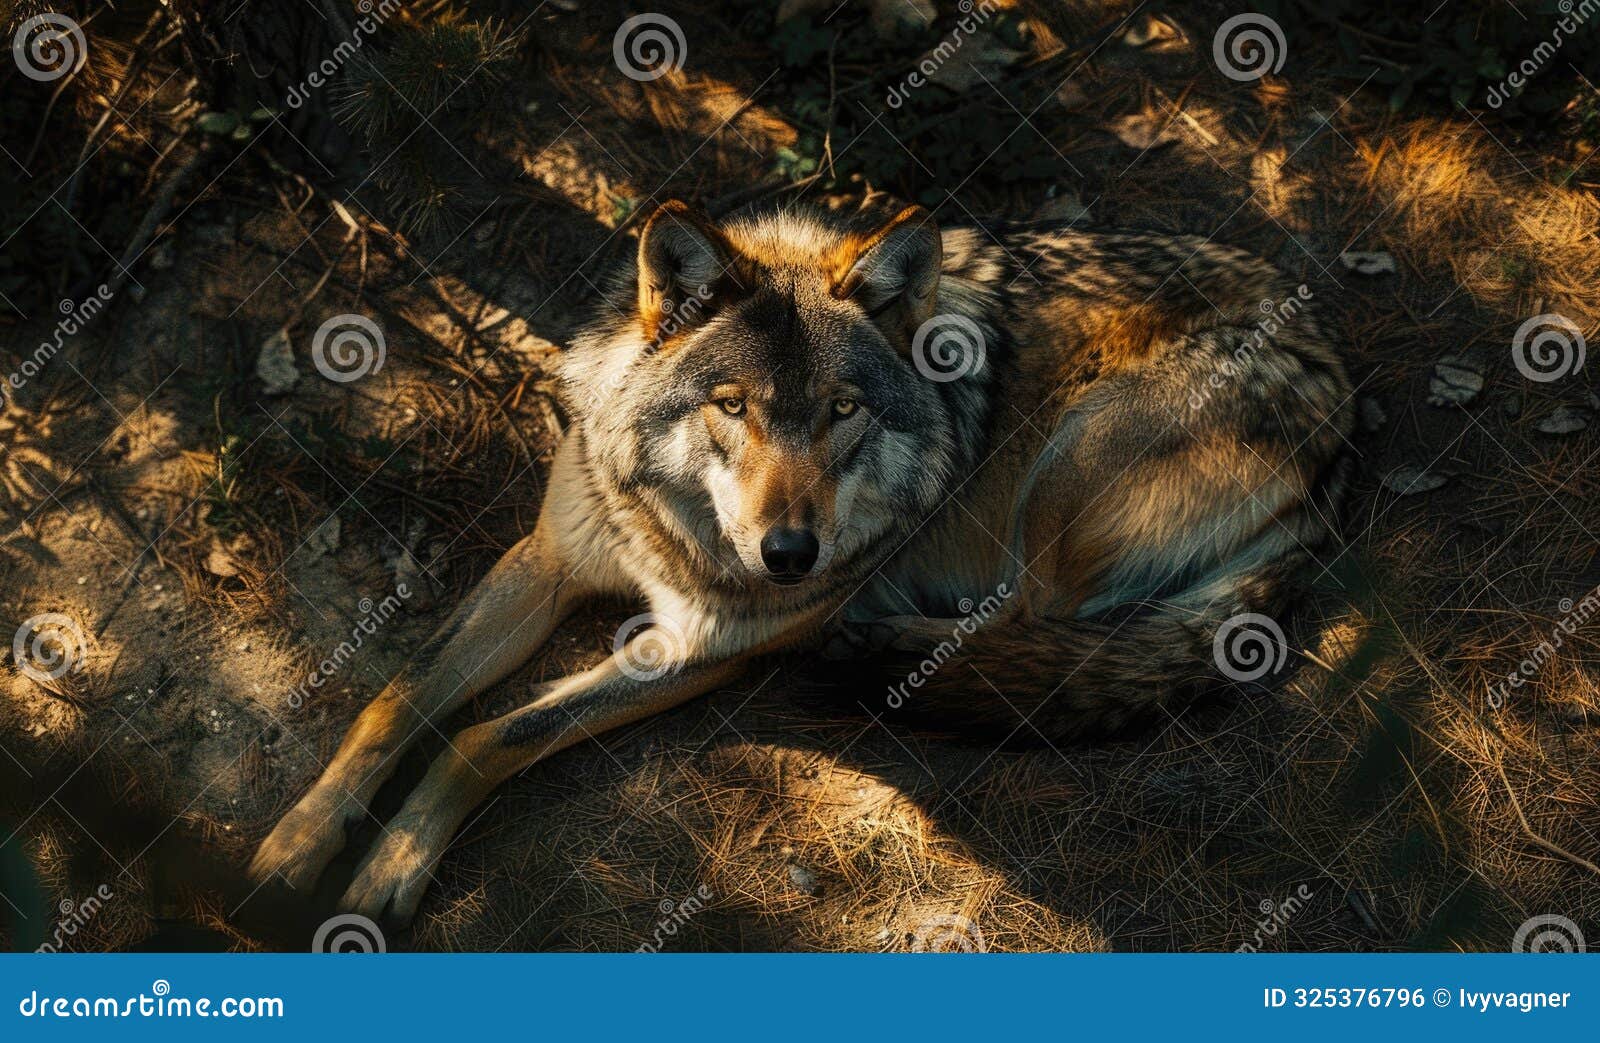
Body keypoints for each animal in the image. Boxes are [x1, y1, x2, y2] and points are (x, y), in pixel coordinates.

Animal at [247, 199, 1354, 925]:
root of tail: (1342, 403)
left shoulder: (696, 645)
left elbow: (489, 735)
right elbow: (400, 694)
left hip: (1063, 465)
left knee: (1028, 623)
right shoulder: (550, 557)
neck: (672, 527)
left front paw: (389, 867)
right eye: (731, 405)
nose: (790, 554)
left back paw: (871, 634)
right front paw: (298, 838)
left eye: (842, 410)